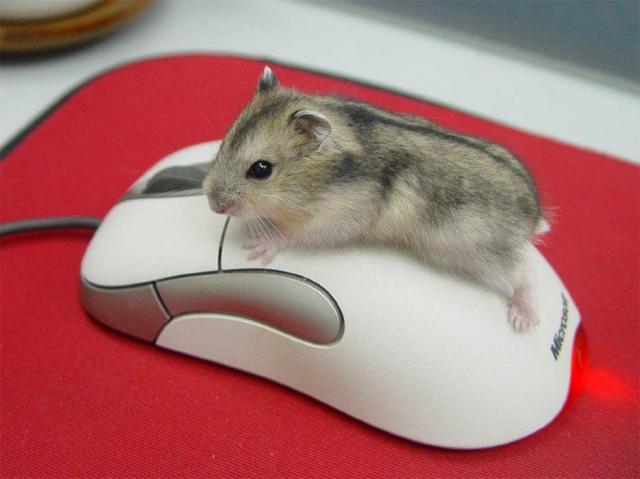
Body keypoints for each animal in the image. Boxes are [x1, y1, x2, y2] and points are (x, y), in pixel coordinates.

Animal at [203, 66, 548, 331]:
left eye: (261, 170)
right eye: (224, 141)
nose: (214, 206)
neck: (316, 179)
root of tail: (533, 215)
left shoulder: (334, 219)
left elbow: (289, 233)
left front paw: (256, 246)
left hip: (475, 249)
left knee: (524, 272)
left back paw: (524, 320)